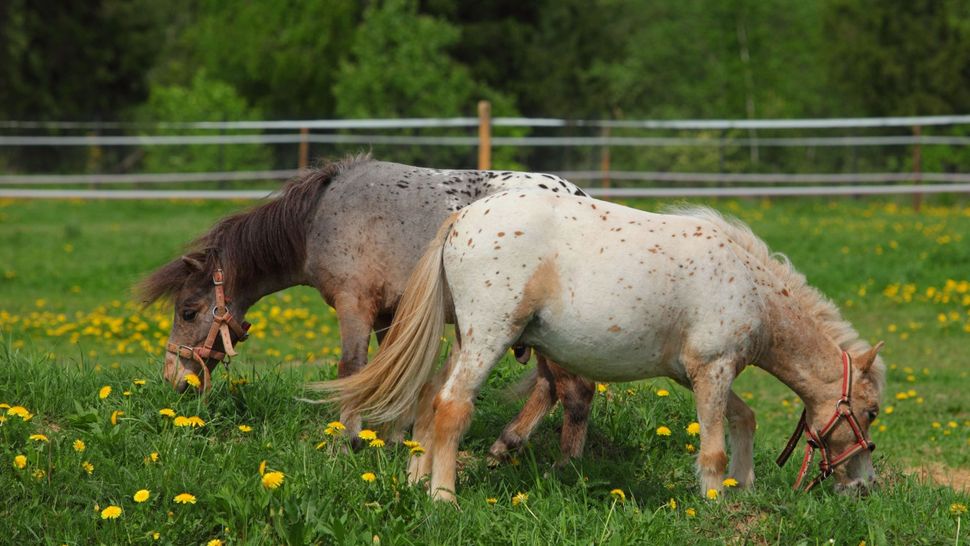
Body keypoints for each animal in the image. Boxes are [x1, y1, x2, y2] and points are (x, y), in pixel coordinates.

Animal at [137, 155, 596, 454]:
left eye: (188, 312)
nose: (174, 379)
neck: (319, 218)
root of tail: (582, 197)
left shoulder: (354, 305)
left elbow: (353, 369)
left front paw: (347, 440)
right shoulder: (389, 314)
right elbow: (393, 370)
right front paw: (392, 436)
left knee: (576, 391)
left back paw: (564, 468)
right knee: (551, 388)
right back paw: (509, 444)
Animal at [317, 190, 886, 503]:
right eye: (872, 412)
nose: (863, 486)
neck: (751, 287)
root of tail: (463, 220)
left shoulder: (692, 373)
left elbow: (743, 419)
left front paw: (742, 490)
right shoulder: (713, 369)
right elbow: (715, 447)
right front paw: (715, 498)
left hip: (465, 340)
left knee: (430, 400)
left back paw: (418, 482)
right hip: (488, 340)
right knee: (453, 405)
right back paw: (443, 498)